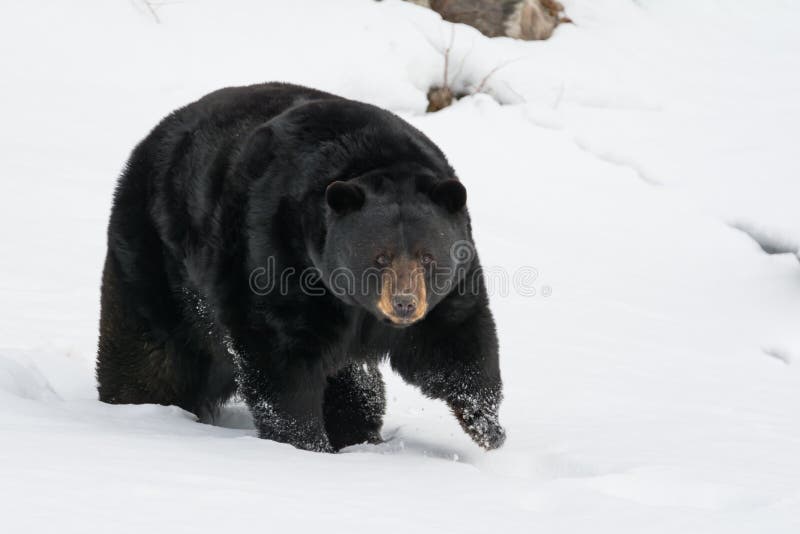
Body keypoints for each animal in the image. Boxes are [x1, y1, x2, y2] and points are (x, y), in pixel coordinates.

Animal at [96, 82, 505, 452]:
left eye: (427, 256)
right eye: (379, 257)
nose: (404, 303)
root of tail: (149, 140)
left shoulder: (452, 277)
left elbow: (455, 340)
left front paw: (488, 428)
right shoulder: (280, 256)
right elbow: (282, 356)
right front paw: (305, 443)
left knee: (354, 385)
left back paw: (359, 435)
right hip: (157, 254)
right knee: (151, 354)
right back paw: (137, 407)